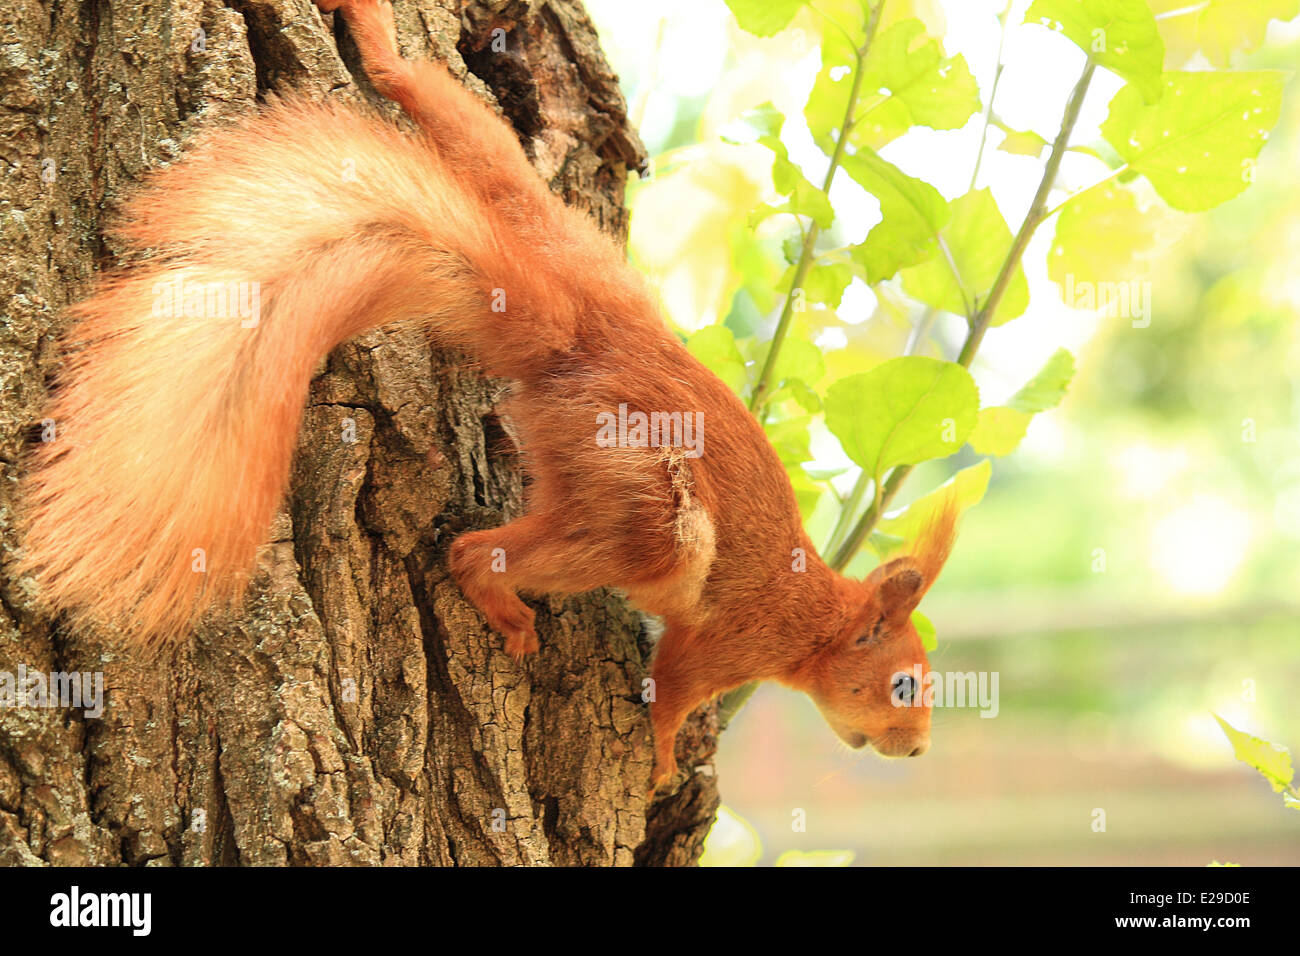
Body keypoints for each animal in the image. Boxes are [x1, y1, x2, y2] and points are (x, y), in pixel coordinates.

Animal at [14, 0, 958, 791]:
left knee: (479, 149)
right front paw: (659, 763)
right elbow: (672, 688)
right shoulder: (729, 639)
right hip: (648, 506)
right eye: (903, 684)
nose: (918, 750)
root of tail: (580, 346)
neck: (815, 617)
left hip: (565, 244)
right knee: (477, 553)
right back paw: (504, 607)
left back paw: (382, 50)